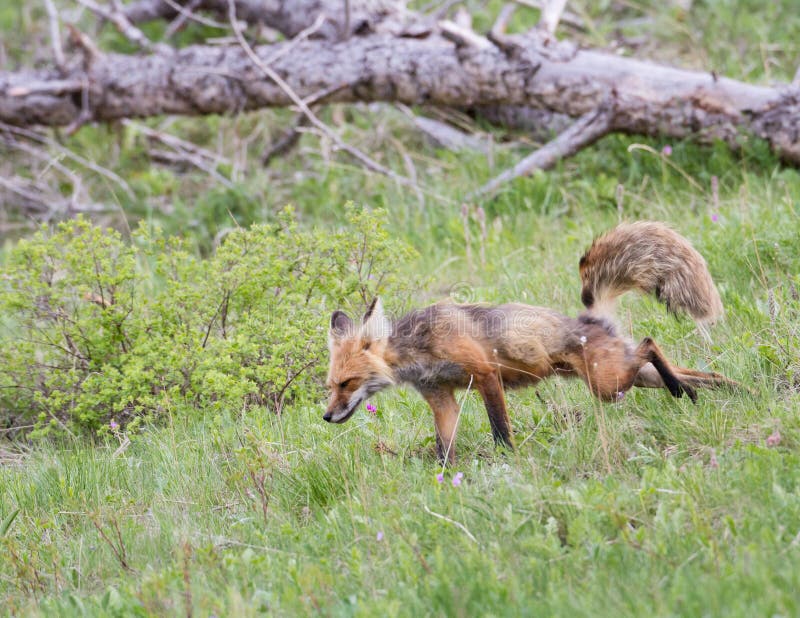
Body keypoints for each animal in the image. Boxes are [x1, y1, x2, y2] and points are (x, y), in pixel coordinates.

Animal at [324, 221, 739, 463]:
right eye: (331, 385)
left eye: (347, 383)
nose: (327, 416)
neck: (420, 351)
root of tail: (591, 317)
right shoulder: (441, 399)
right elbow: (445, 448)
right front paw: (445, 480)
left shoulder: (485, 374)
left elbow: (499, 429)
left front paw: (507, 462)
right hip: (629, 379)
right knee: (699, 372)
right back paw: (722, 391)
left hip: (608, 384)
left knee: (650, 344)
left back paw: (684, 391)